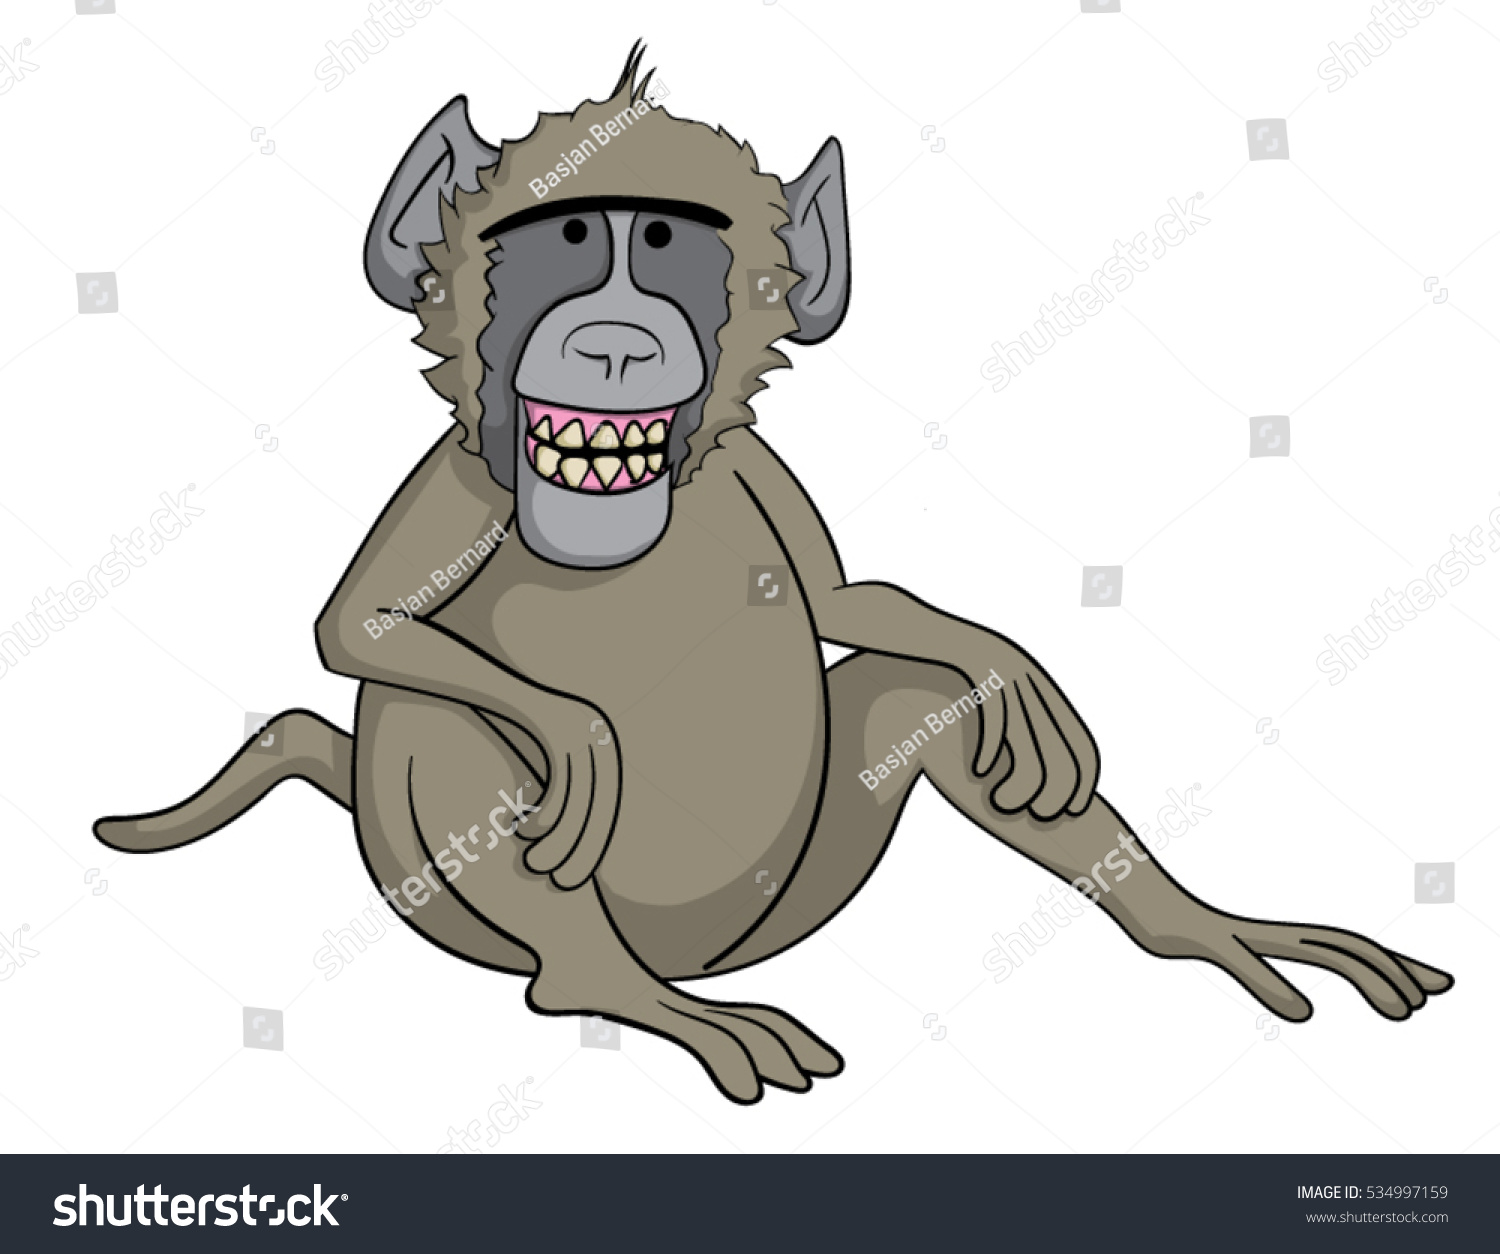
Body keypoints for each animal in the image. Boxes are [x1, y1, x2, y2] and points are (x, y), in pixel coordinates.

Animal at [96, 45, 1451, 1105]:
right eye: (564, 241)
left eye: (665, 244)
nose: (615, 340)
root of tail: (690, 967)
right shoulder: (454, 483)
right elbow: (358, 628)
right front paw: (579, 730)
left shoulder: (755, 463)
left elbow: (865, 613)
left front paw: (1004, 660)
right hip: (436, 893)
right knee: (444, 724)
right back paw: (622, 985)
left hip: (790, 894)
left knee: (922, 706)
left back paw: (1207, 928)